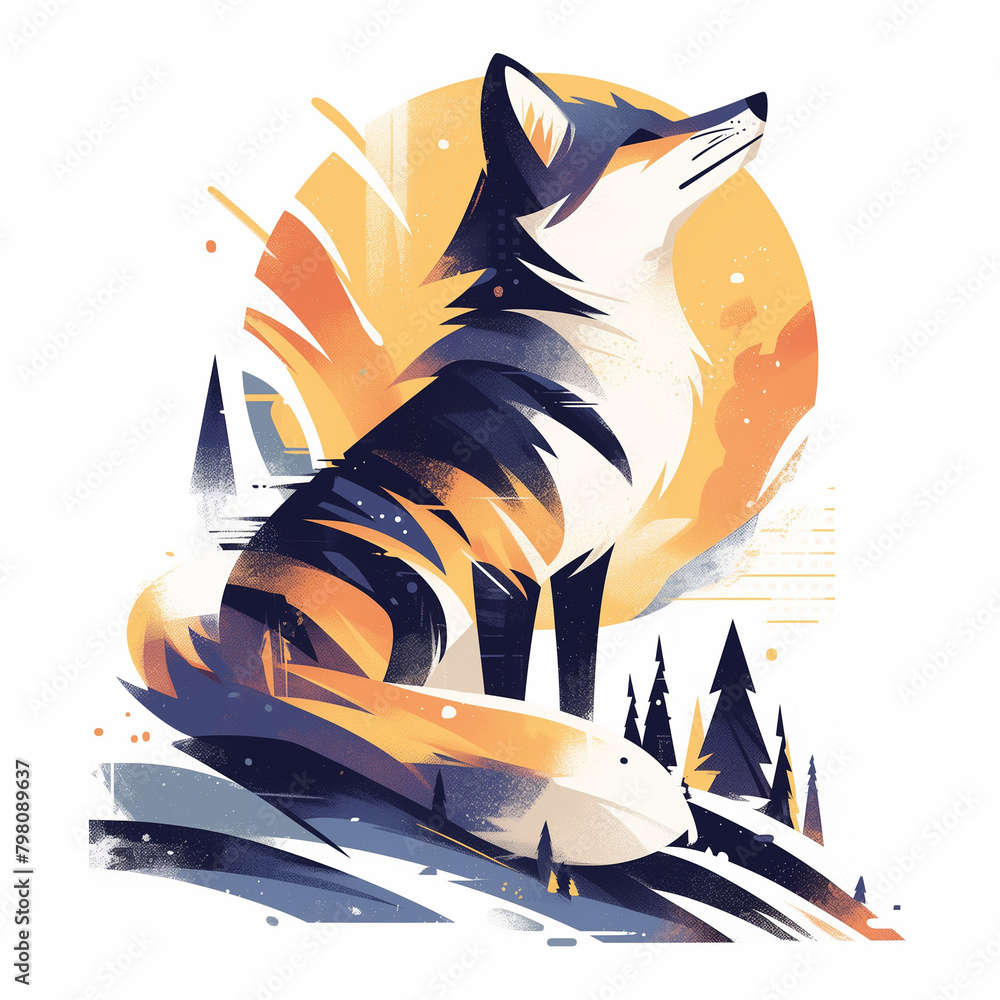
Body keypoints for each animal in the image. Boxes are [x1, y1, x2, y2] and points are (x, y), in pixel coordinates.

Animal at [126, 55, 770, 864]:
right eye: (643, 132)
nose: (761, 99)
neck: (617, 356)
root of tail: (238, 648)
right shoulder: (508, 566)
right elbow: (508, 699)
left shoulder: (587, 563)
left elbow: (579, 690)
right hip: (414, 601)